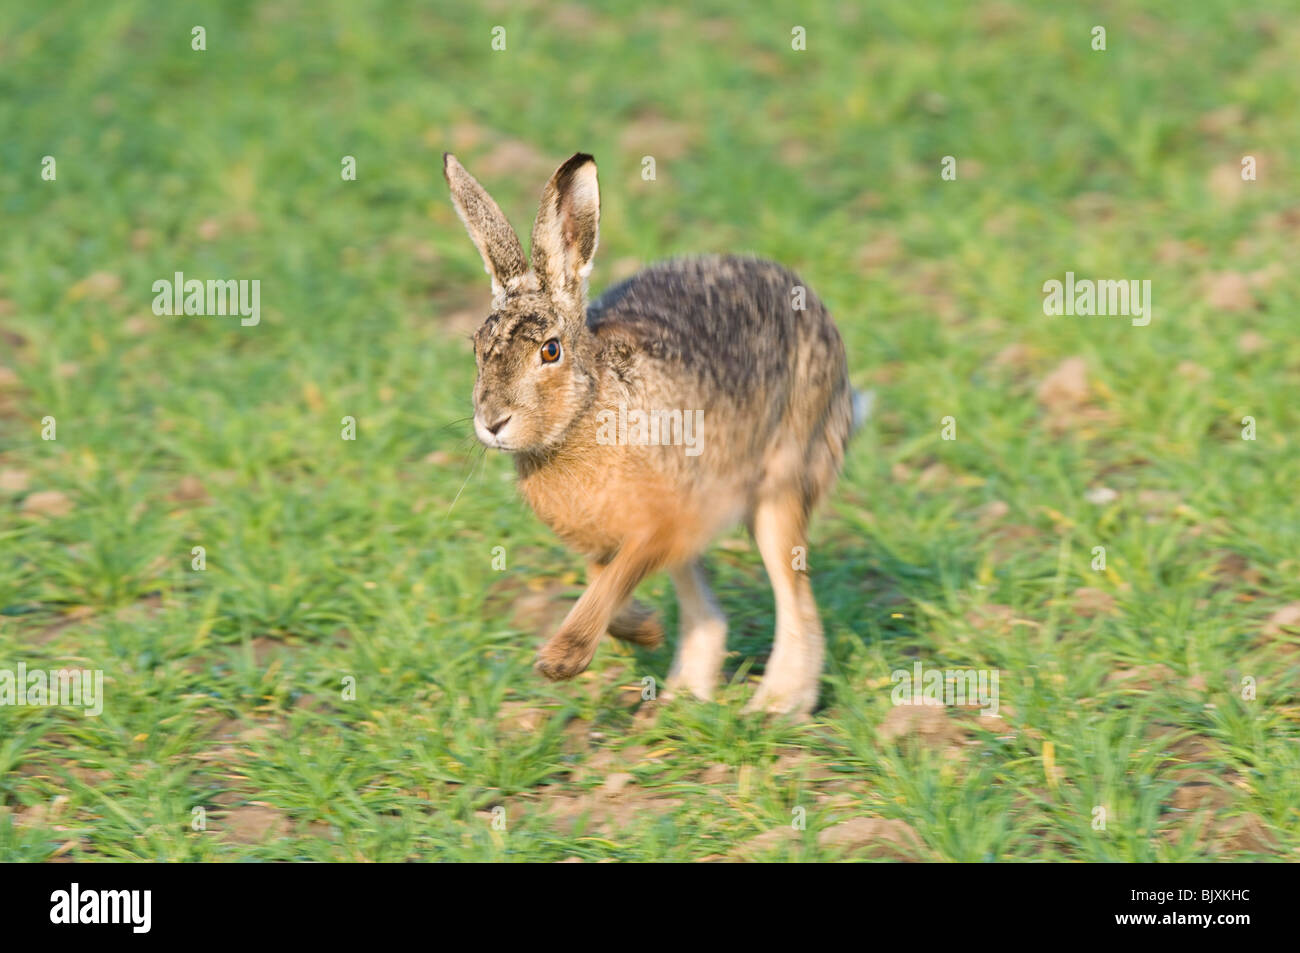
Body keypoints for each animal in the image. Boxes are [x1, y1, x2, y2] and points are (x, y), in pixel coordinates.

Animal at [444, 150, 864, 717]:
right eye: (477, 348)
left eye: (550, 350)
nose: (492, 422)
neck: (589, 411)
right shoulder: (605, 539)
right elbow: (603, 583)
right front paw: (645, 630)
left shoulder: (664, 523)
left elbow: (616, 578)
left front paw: (560, 659)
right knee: (708, 609)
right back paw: (680, 700)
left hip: (782, 485)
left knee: (795, 598)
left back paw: (775, 708)